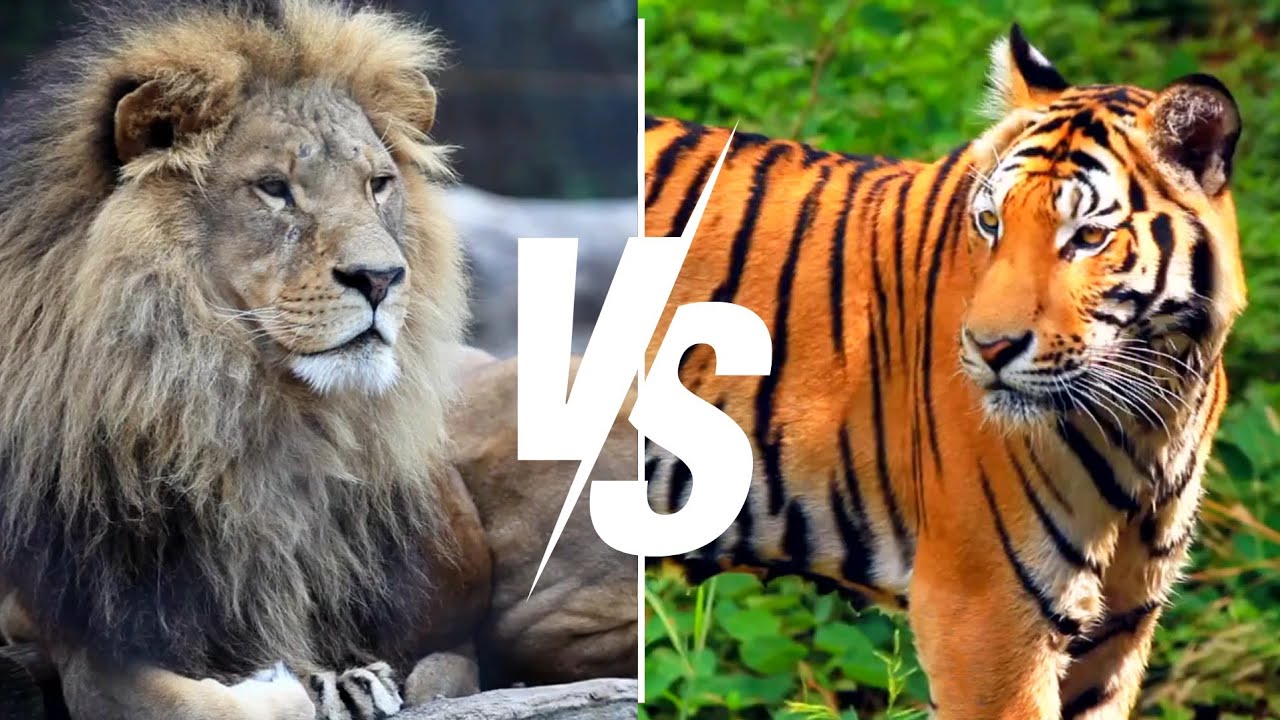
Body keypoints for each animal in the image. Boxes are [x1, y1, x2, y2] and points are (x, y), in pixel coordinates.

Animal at [0, 1, 504, 718]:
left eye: (378, 185)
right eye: (273, 188)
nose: (381, 278)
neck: (265, 419)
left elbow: (442, 665)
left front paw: (352, 679)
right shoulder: (88, 634)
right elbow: (207, 703)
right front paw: (296, 682)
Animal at [642, 24, 1245, 720]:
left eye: (1089, 238)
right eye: (991, 223)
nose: (990, 348)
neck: (1157, 410)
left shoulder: (1119, 628)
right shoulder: (987, 619)